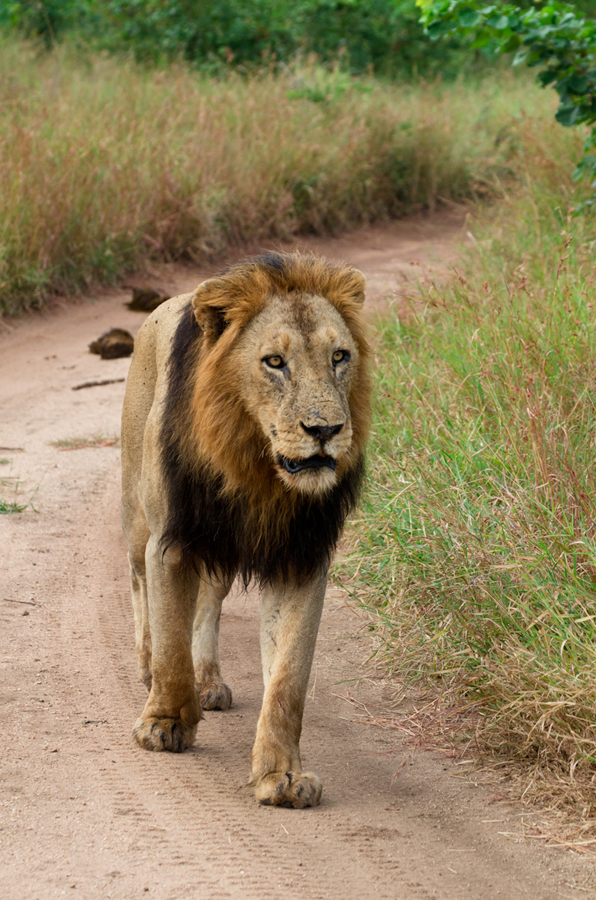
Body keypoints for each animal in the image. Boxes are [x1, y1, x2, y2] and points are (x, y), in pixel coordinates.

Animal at [120, 251, 371, 808]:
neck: (257, 469)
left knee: (206, 606)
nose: (325, 431)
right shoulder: (171, 541)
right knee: (140, 588)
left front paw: (282, 775)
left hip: (219, 551)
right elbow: (170, 638)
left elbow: (287, 679)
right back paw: (148, 668)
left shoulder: (301, 556)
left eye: (339, 356)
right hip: (138, 516)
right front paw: (164, 722)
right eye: (274, 362)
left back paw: (208, 681)